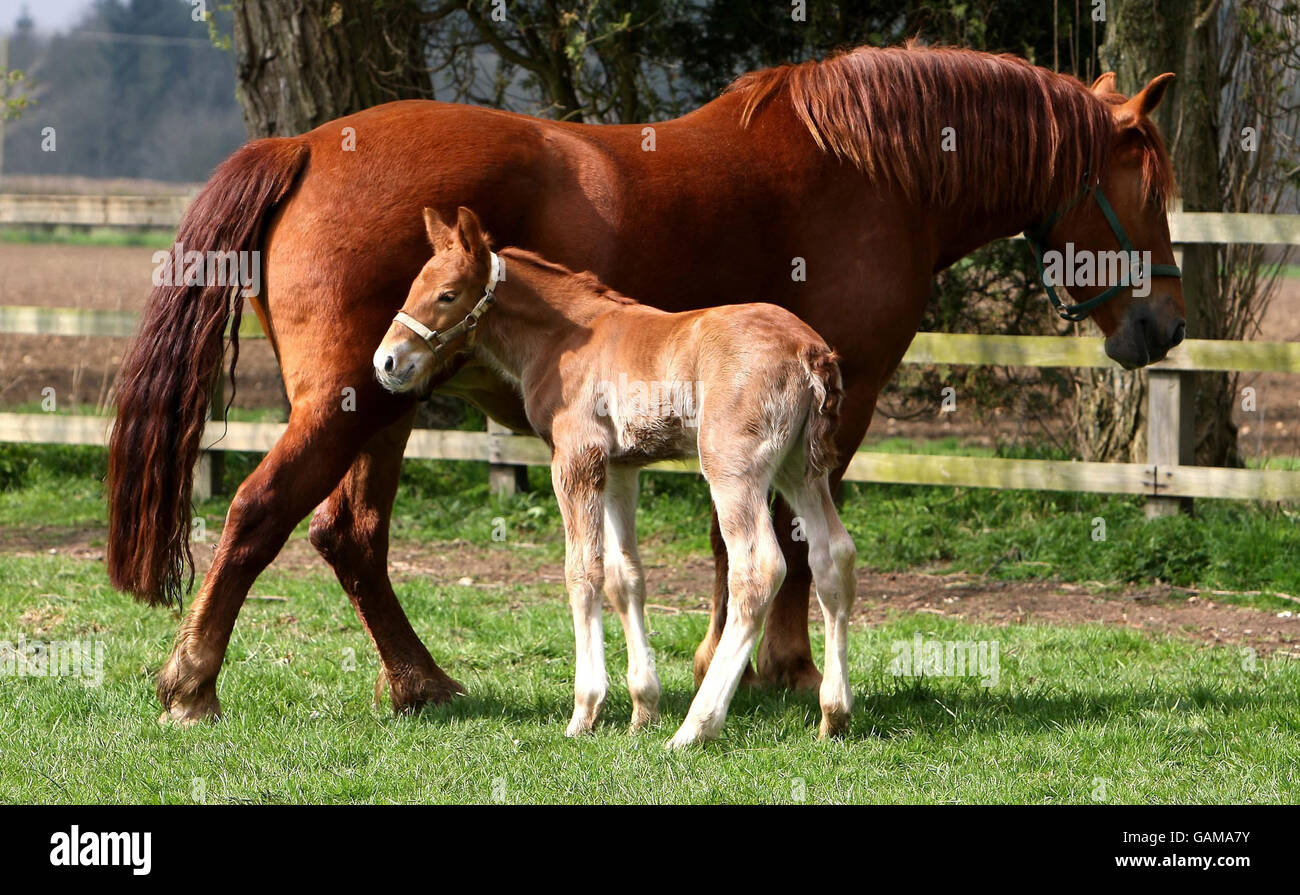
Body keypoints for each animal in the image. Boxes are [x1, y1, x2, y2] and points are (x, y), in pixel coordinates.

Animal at [374, 205, 857, 745]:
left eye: (448, 293)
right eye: (414, 285)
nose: (386, 361)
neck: (563, 338)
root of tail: (809, 351)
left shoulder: (576, 457)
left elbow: (582, 572)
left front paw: (585, 710)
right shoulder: (621, 467)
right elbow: (625, 577)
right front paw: (642, 708)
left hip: (734, 468)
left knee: (759, 569)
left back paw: (696, 727)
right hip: (800, 468)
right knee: (833, 556)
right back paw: (833, 715)